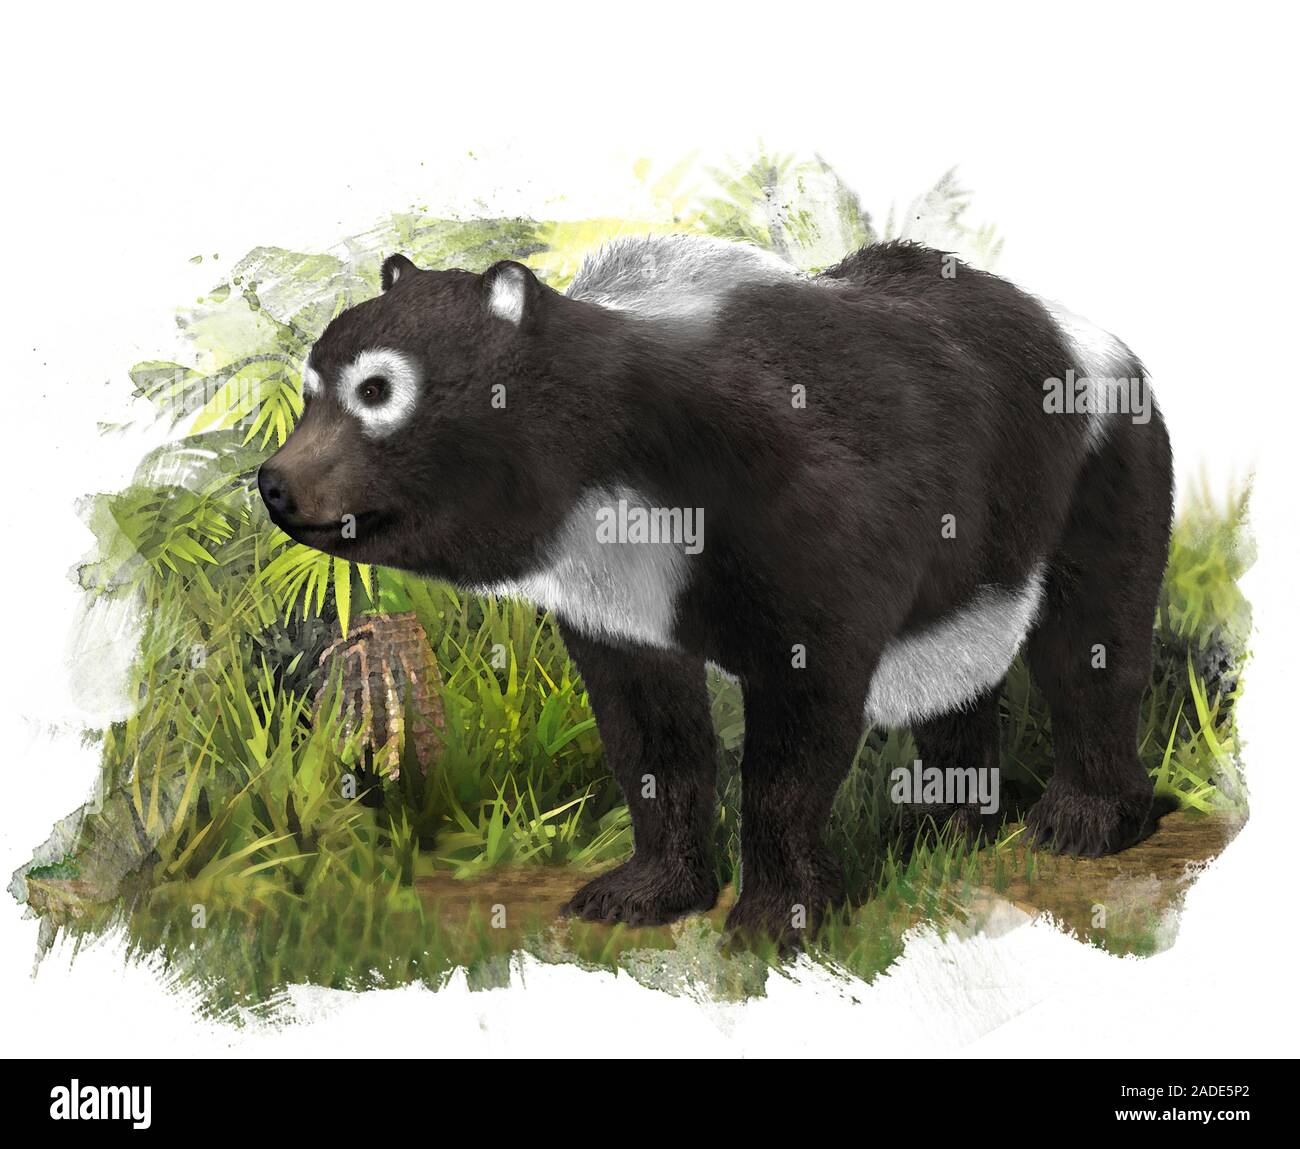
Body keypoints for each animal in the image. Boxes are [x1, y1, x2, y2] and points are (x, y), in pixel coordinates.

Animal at [259, 232, 1175, 946]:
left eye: (379, 390)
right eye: (310, 389)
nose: (274, 484)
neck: (623, 455)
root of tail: (1097, 336)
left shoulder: (803, 504)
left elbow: (803, 709)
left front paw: (780, 914)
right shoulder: (620, 583)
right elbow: (648, 728)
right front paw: (642, 889)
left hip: (1099, 461)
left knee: (1091, 643)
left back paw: (1085, 820)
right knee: (957, 667)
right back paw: (943, 820)